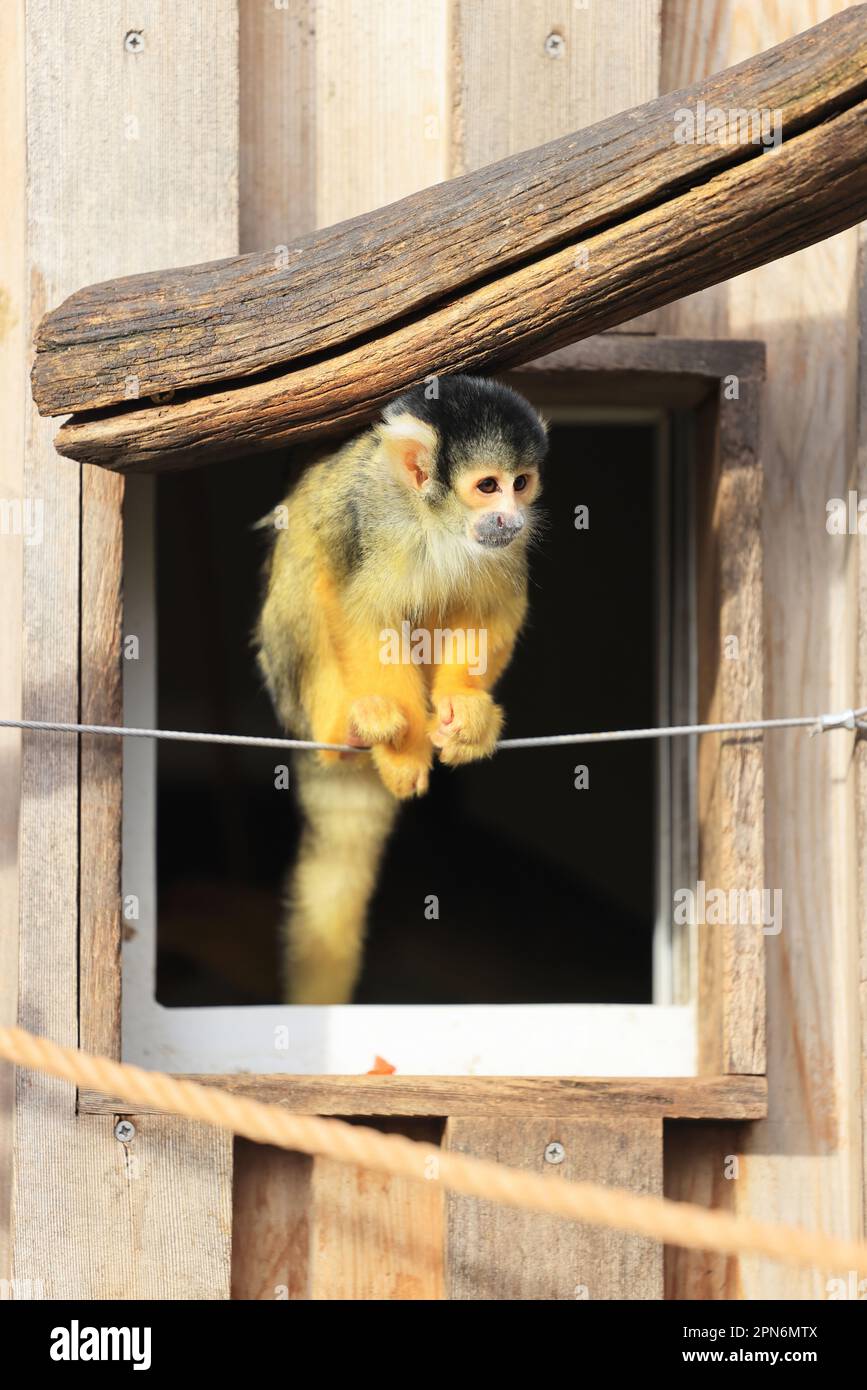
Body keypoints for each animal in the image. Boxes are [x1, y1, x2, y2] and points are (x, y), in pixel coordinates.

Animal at [255, 374, 548, 1004]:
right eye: (488, 486)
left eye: (521, 483)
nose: (511, 519)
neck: (436, 521)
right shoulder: (374, 517)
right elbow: (362, 612)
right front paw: (403, 746)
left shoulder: (499, 550)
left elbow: (489, 610)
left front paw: (465, 713)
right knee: (308, 575)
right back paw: (348, 726)